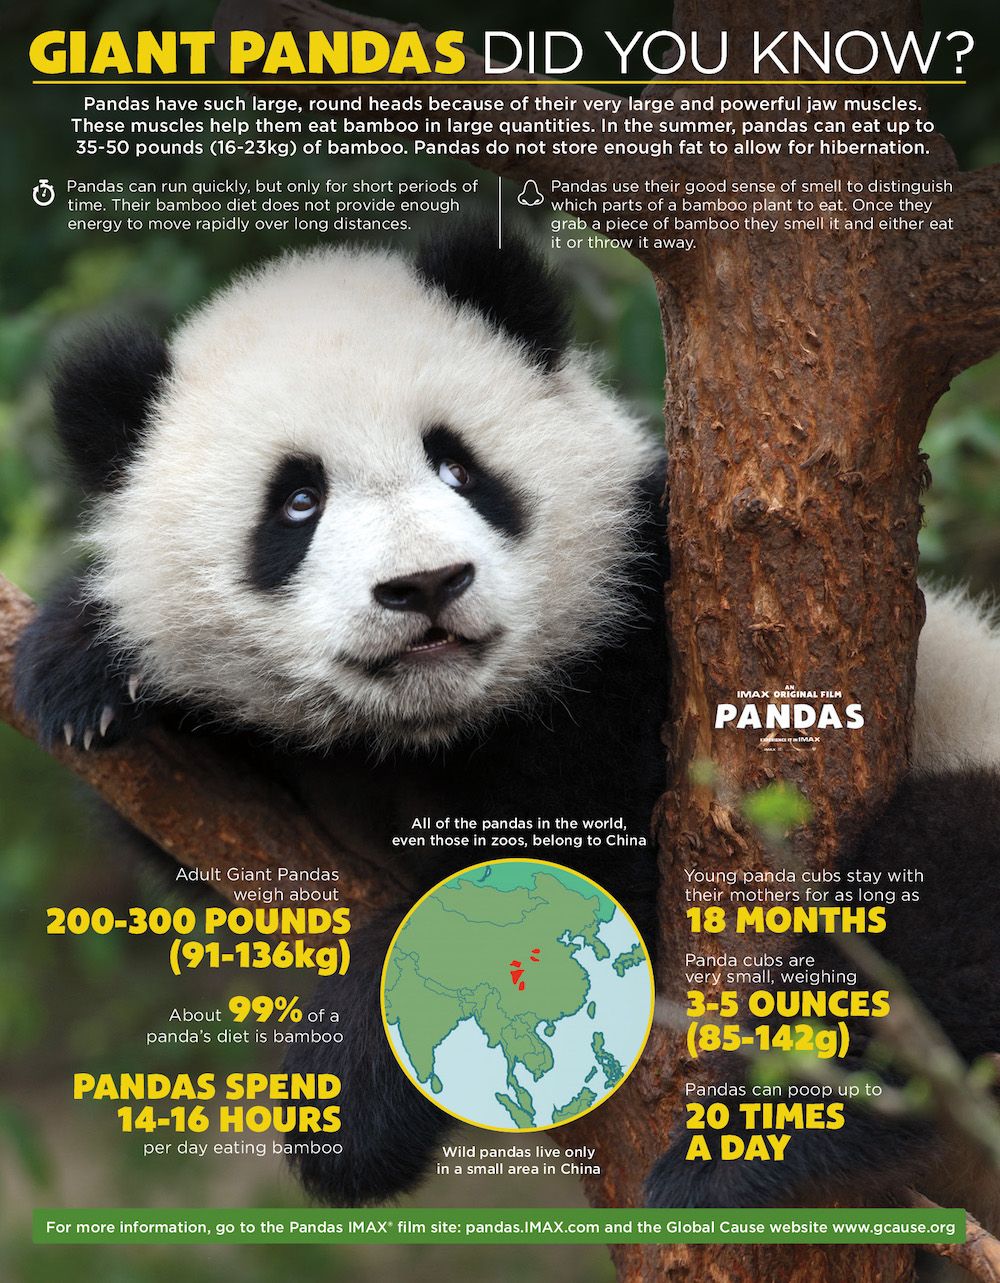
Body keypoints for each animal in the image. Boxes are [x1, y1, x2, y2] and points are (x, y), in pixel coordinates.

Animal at [12, 225, 1000, 1217]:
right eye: (297, 500)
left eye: (459, 465)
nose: (425, 584)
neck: (436, 726)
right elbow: (198, 842)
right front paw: (84, 668)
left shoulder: (637, 636)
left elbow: (564, 874)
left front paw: (352, 1103)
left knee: (922, 923)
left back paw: (757, 1141)